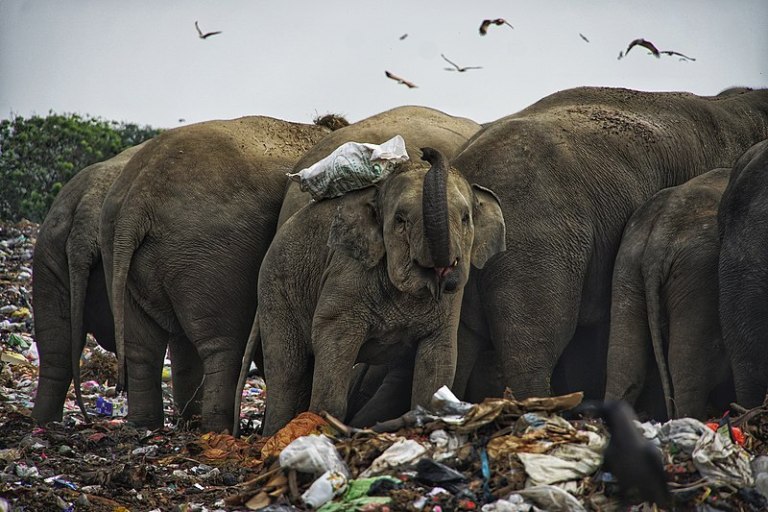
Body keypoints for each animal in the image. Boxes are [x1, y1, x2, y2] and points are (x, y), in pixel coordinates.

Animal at [99, 116, 332, 432]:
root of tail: (136, 200)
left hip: (118, 251)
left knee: (142, 347)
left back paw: (148, 425)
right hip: (209, 255)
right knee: (221, 346)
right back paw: (216, 428)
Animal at [256, 148, 506, 435]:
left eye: (465, 218)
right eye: (400, 220)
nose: (427, 152)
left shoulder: (452, 302)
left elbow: (439, 355)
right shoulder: (348, 272)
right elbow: (332, 336)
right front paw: (326, 425)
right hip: (276, 289)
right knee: (287, 372)